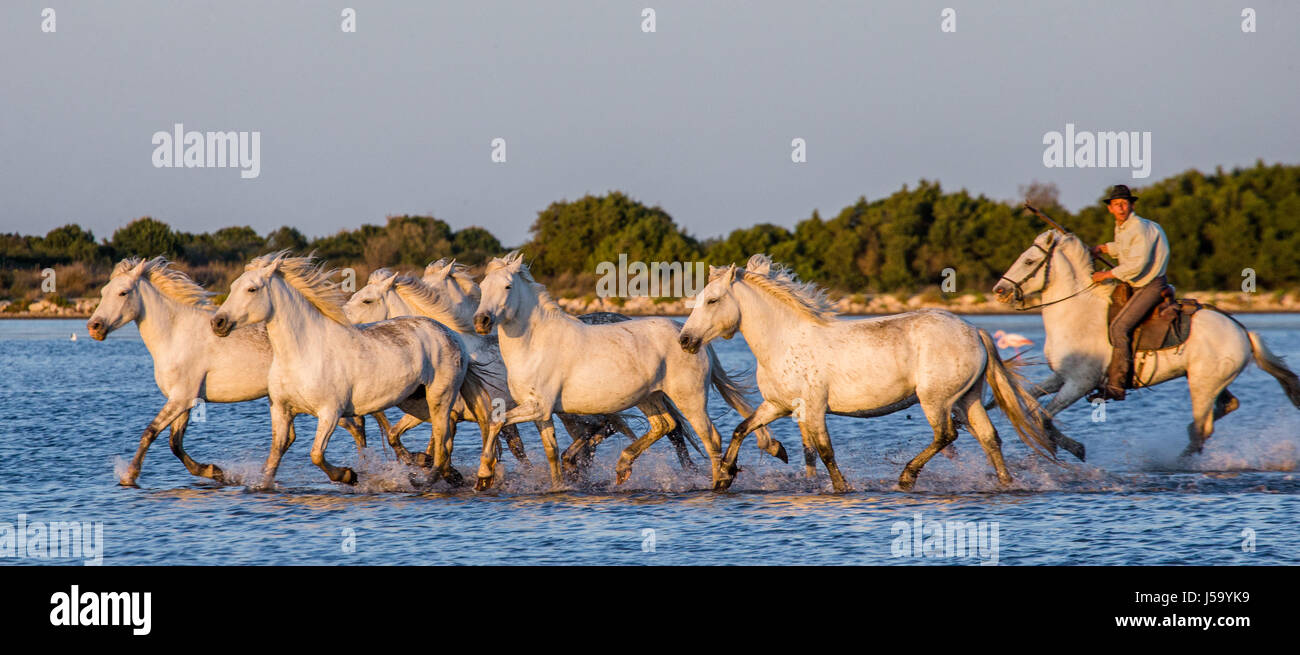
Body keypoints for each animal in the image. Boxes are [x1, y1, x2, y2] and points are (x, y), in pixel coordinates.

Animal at [85, 257, 372, 486]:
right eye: (104, 291)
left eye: (123, 293)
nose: (94, 327)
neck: (175, 335)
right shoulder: (186, 400)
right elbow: (175, 444)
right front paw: (215, 472)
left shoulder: (181, 398)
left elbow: (150, 433)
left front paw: (129, 476)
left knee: (354, 427)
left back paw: (361, 471)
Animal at [211, 252, 496, 488]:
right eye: (233, 287)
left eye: (252, 289)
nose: (218, 323)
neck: (303, 351)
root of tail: (451, 334)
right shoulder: (281, 409)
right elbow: (275, 454)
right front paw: (263, 486)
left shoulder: (330, 412)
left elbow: (316, 454)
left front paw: (349, 475)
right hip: (417, 402)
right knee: (441, 440)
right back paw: (450, 474)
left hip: (440, 398)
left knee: (442, 438)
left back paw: (428, 480)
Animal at [473, 252, 769, 489]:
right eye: (482, 286)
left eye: (508, 286)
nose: (481, 321)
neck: (535, 343)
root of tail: (688, 336)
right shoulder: (541, 413)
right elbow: (551, 452)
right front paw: (559, 487)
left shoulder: (538, 407)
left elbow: (496, 421)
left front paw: (484, 475)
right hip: (649, 397)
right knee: (666, 425)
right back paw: (623, 466)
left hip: (690, 399)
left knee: (710, 438)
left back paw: (718, 483)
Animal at [678, 254, 1061, 492]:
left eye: (712, 300)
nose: (685, 340)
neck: (783, 340)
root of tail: (974, 330)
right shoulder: (779, 406)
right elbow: (742, 429)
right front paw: (724, 478)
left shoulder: (813, 409)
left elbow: (825, 451)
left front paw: (842, 487)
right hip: (968, 398)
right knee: (989, 437)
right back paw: (1005, 483)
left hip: (935, 400)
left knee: (946, 435)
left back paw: (906, 478)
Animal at [992, 230, 1300, 455]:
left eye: (1029, 261)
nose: (1000, 290)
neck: (1077, 312)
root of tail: (1241, 330)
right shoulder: (1061, 377)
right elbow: (1032, 401)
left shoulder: (1080, 383)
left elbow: (1043, 415)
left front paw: (1073, 447)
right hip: (1211, 380)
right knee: (1226, 407)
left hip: (1202, 385)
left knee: (1203, 429)